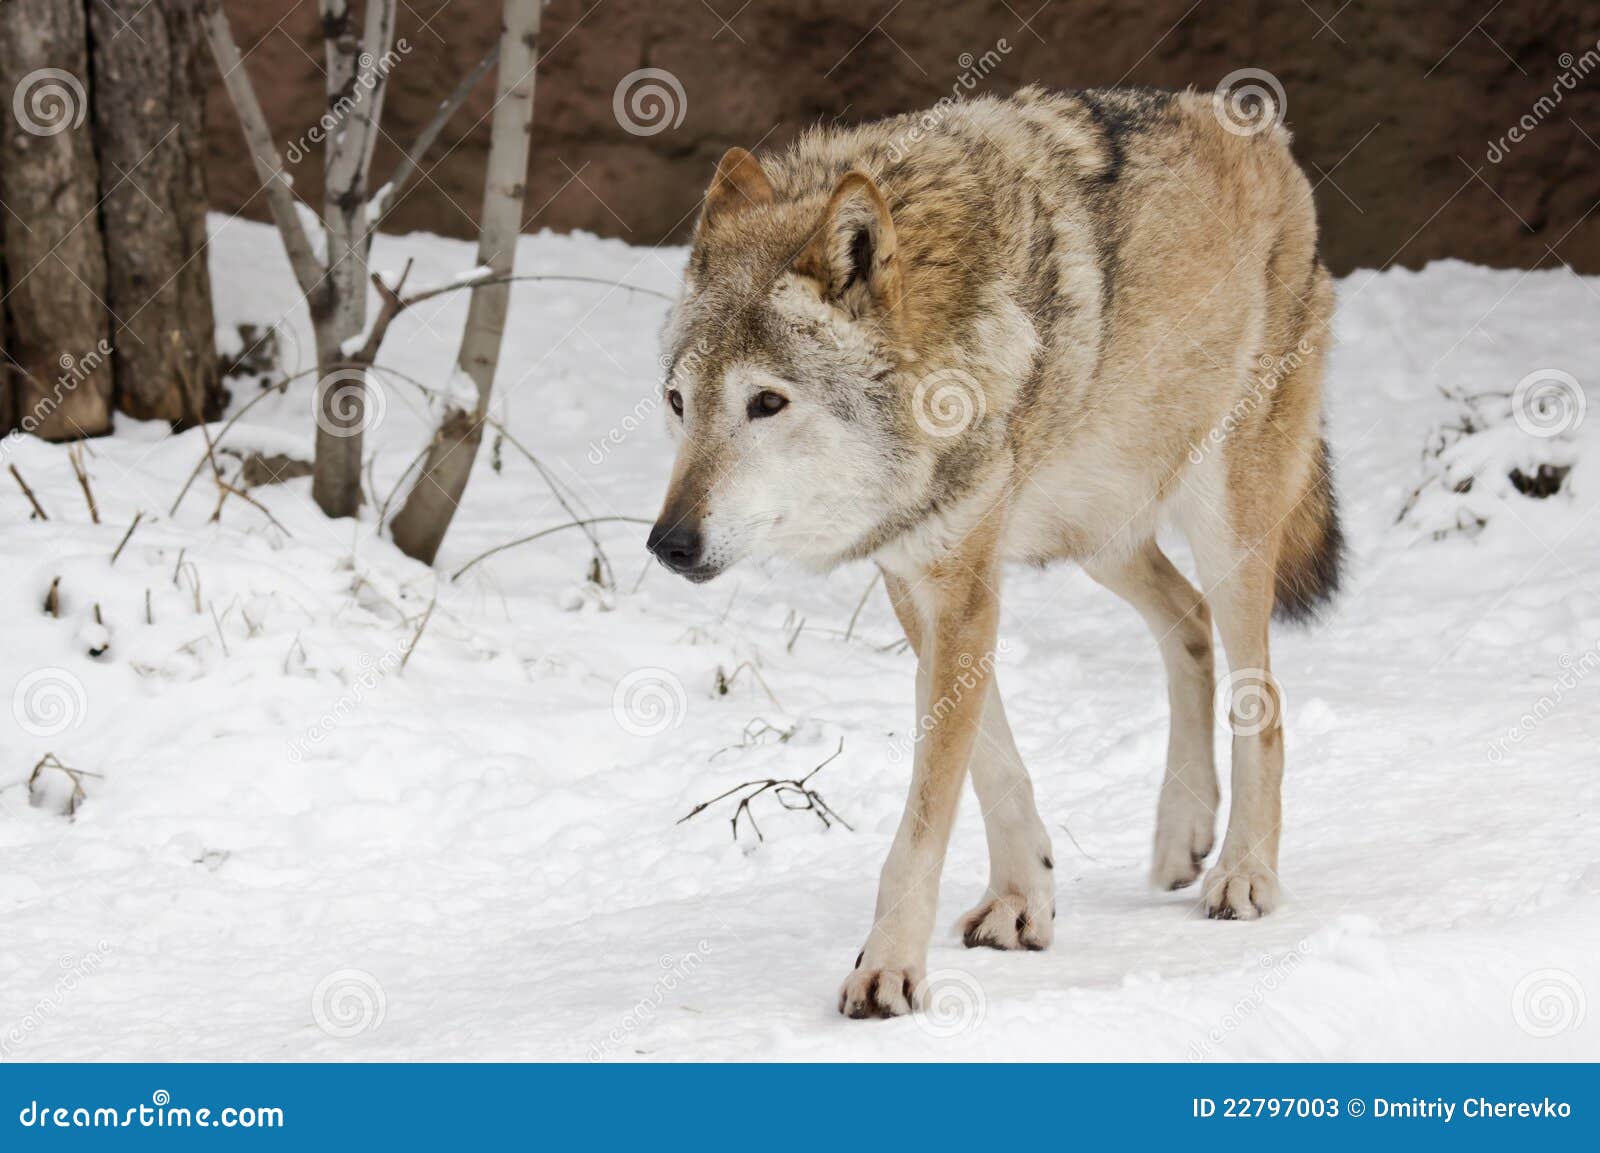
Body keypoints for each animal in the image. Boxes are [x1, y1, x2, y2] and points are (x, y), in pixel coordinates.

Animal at [648, 84, 1341, 1018]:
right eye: (677, 401)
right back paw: (1182, 833)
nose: (667, 542)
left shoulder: (965, 585)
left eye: (766, 402)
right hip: (1101, 532)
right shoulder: (919, 581)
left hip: (1223, 521)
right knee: (1188, 623)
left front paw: (889, 969)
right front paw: (1023, 900)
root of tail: (1253, 122)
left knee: (1259, 696)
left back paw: (1243, 872)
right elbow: (990, 763)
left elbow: (926, 812)